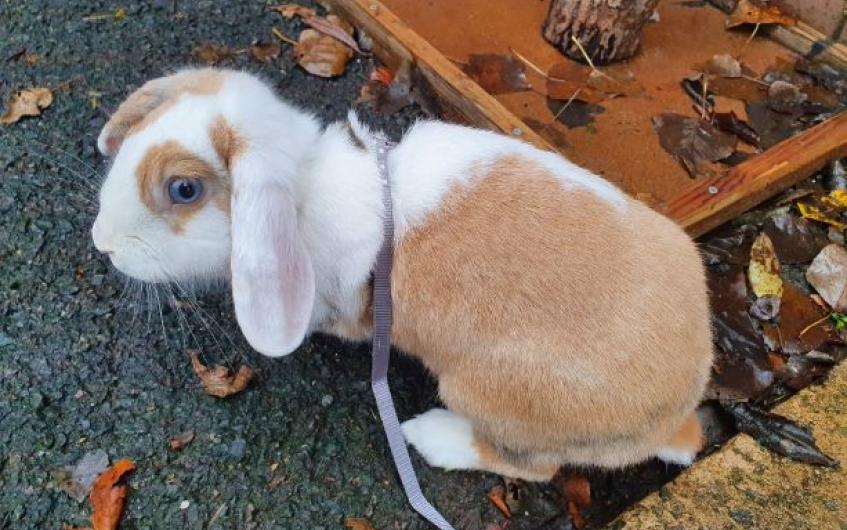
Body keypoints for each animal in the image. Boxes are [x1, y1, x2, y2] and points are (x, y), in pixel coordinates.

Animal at [92, 67, 713, 482]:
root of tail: (677, 416)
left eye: (184, 189)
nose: (104, 244)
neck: (307, 190)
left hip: (488, 396)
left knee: (533, 466)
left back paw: (429, 436)